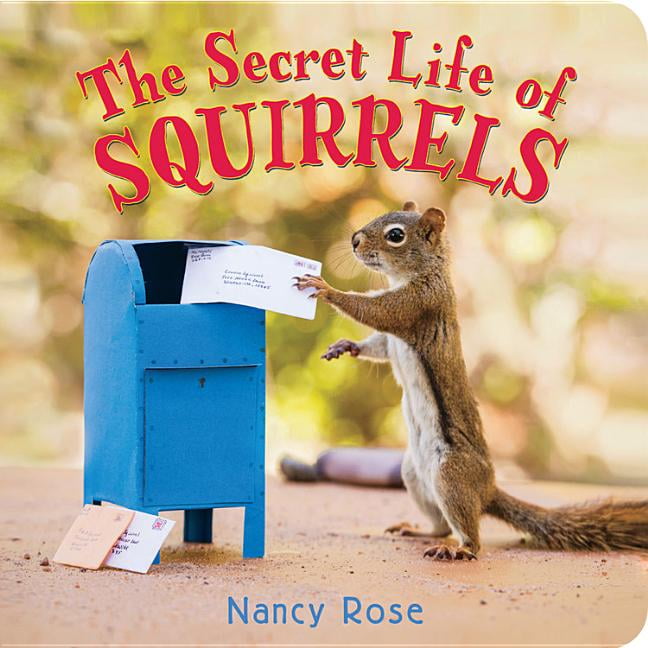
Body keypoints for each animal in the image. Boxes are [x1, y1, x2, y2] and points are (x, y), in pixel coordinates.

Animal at [295, 201, 648, 561]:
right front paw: (344, 346)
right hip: (414, 476)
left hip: (450, 476)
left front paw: (326, 289)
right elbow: (377, 345)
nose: (354, 240)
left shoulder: (417, 305)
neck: (422, 273)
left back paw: (460, 549)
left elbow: (372, 311)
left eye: (395, 235)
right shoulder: (393, 338)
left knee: (469, 532)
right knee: (440, 524)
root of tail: (487, 489)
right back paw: (420, 531)